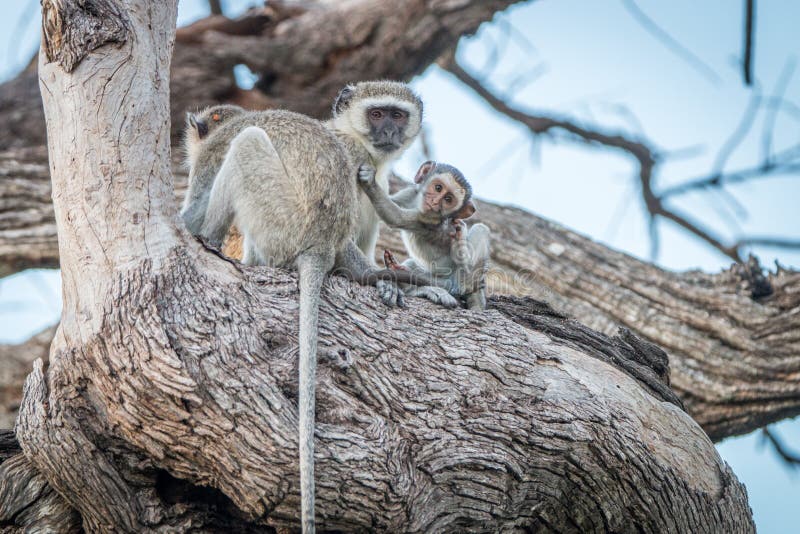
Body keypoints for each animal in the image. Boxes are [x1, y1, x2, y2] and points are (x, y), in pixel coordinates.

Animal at [358, 161, 491, 310]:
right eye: (438, 188)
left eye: (448, 199)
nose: (434, 202)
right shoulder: (409, 193)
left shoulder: (429, 219)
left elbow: (395, 217)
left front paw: (371, 181)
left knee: (481, 229)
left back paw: (465, 280)